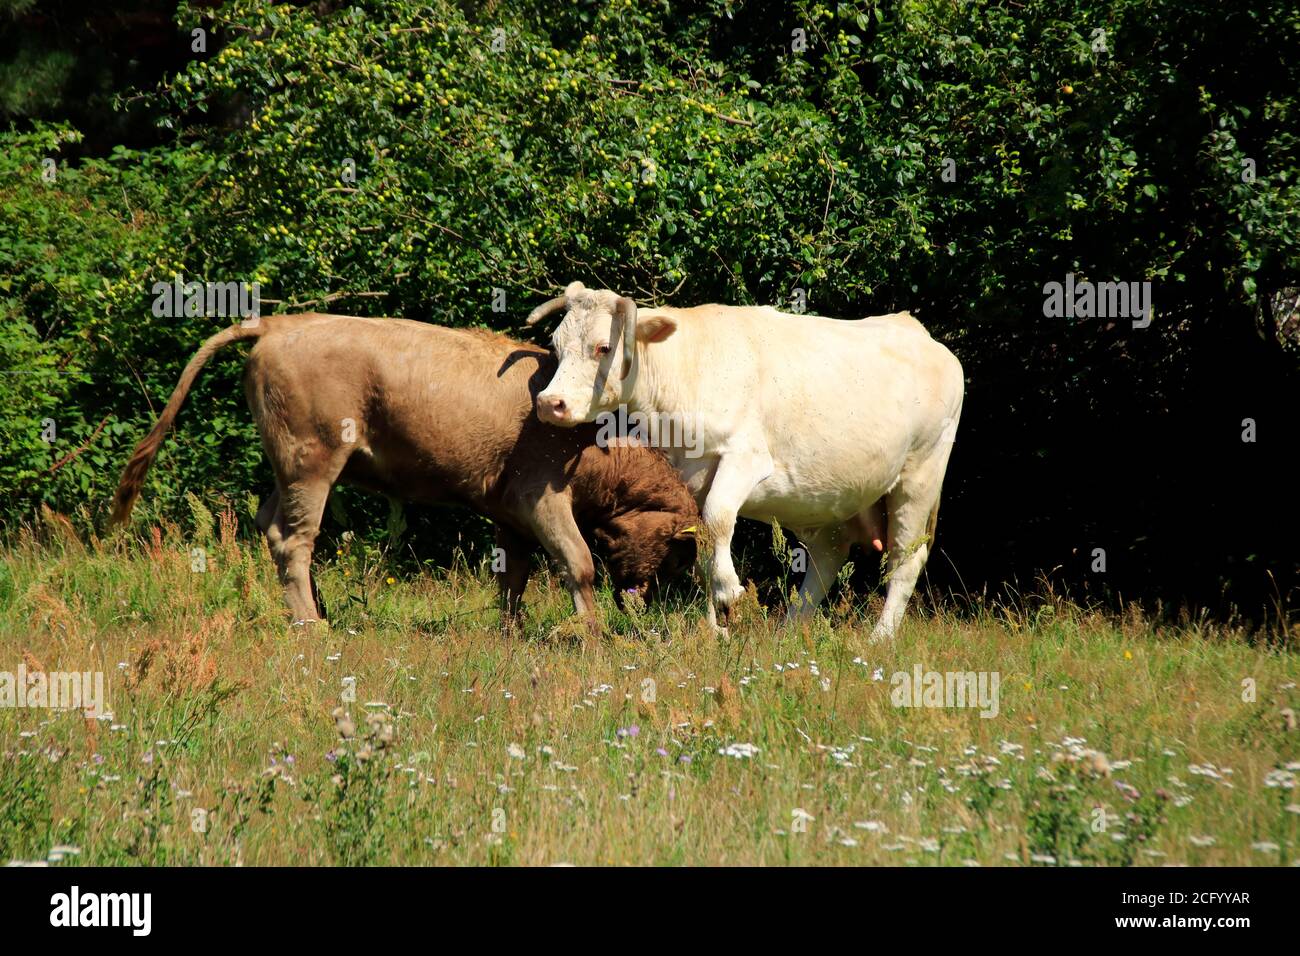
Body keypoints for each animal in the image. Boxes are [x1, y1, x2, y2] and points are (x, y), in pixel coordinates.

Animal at [108, 313, 700, 633]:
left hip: (289, 467)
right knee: (294, 539)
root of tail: (284, 322)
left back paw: (317, 609)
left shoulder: (509, 512)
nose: (648, 600)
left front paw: (512, 632)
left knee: (269, 522)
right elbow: (578, 564)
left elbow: (514, 577)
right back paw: (312, 625)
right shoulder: (542, 496)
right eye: (677, 548)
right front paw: (591, 632)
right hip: (312, 461)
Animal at [527, 281, 964, 640]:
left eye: (603, 347)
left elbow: (718, 519)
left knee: (905, 559)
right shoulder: (691, 478)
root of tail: (915, 329)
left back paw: (880, 638)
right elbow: (702, 541)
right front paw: (714, 629)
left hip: (919, 478)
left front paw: (729, 591)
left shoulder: (745, 457)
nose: (550, 403)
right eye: (557, 347)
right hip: (829, 501)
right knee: (827, 557)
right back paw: (788, 631)